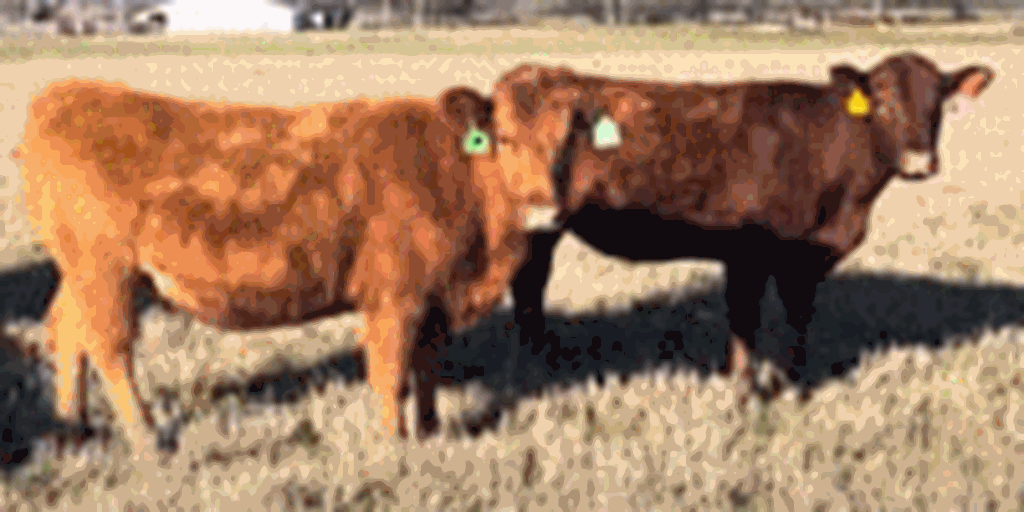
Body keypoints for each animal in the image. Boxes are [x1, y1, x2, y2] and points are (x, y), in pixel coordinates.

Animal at [17, 80, 553, 449]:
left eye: (563, 141)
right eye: (505, 139)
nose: (545, 205)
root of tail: (66, 94)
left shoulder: (434, 299)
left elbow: (426, 369)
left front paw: (431, 430)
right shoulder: (396, 302)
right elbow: (393, 373)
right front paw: (393, 443)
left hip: (84, 277)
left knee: (66, 332)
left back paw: (75, 426)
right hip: (107, 275)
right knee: (109, 348)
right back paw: (148, 438)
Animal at [491, 52, 994, 399]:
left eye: (939, 103)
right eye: (884, 101)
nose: (919, 161)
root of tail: (529, 74)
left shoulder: (803, 258)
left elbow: (797, 317)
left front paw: (794, 381)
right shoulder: (750, 252)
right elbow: (745, 318)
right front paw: (746, 388)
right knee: (529, 287)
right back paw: (538, 364)